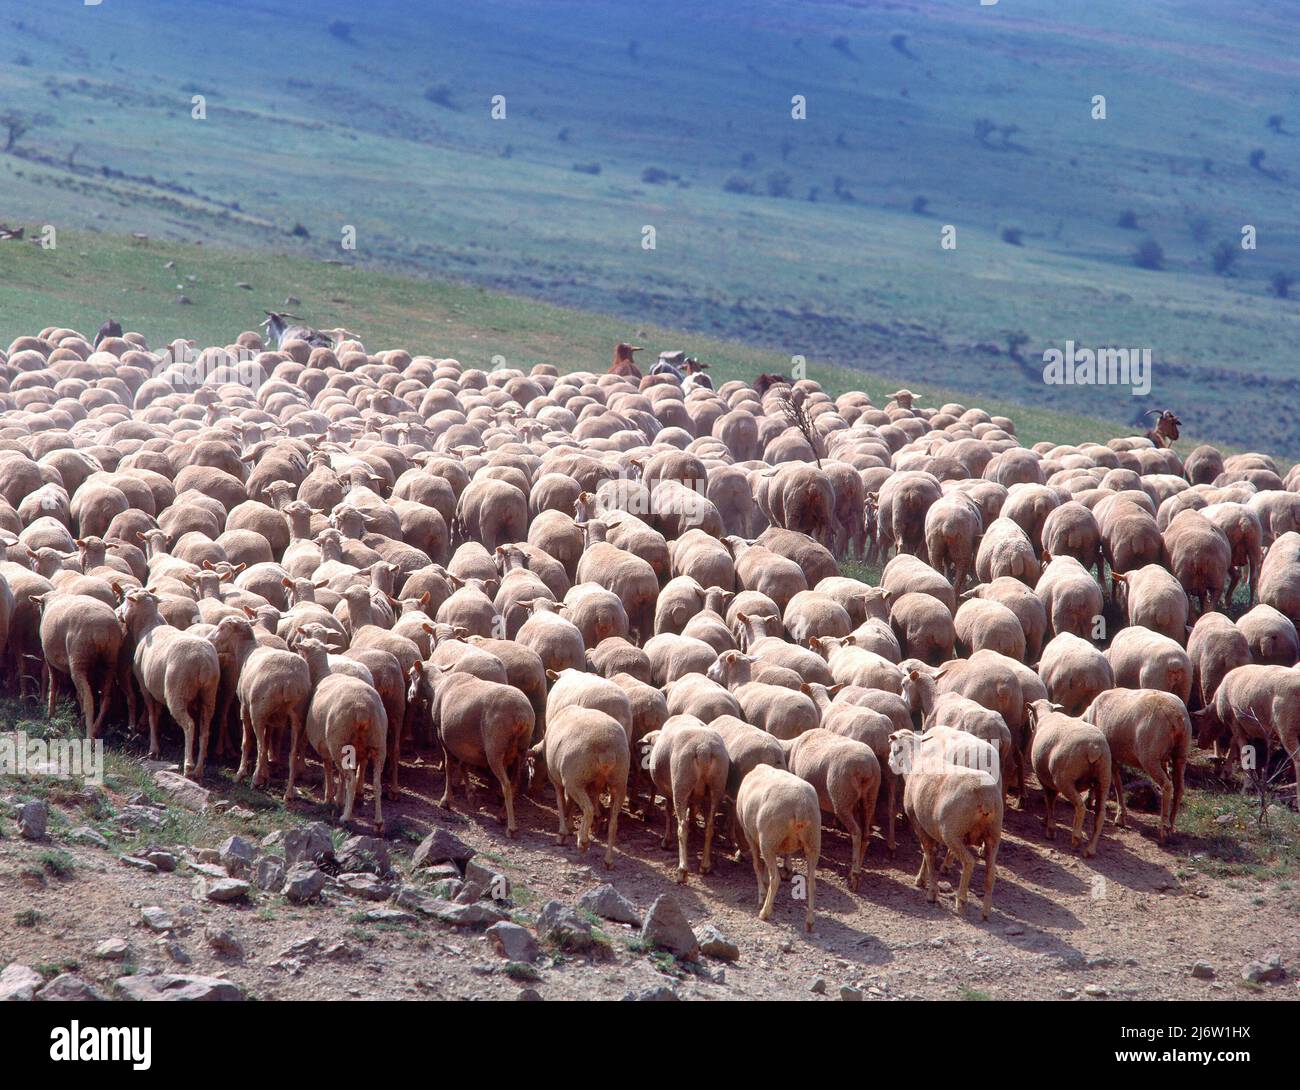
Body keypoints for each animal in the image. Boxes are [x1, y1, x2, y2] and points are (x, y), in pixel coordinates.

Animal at [735, 764, 820, 931]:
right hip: (813, 841)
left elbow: (757, 865)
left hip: (768, 840)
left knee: (775, 878)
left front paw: (761, 894)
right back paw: (809, 922)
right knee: (811, 882)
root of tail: (801, 804)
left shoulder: (749, 835)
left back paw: (765, 912)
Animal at [1025, 699, 1111, 857]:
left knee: (1080, 806)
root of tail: (1094, 748)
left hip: (1064, 779)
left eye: (1029, 713)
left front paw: (1050, 829)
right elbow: (1051, 800)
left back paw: (1076, 838)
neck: (1045, 716)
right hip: (1104, 778)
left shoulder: (1044, 779)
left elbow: (1049, 801)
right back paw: (1090, 849)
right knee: (1100, 814)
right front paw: (1046, 821)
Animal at [1084, 689, 1188, 842]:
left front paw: (1119, 816)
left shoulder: (1108, 755)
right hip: (1180, 754)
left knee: (1167, 785)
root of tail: (1177, 716)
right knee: (1179, 788)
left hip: (1149, 756)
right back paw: (1171, 825)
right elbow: (1117, 781)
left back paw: (1164, 828)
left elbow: (1115, 782)